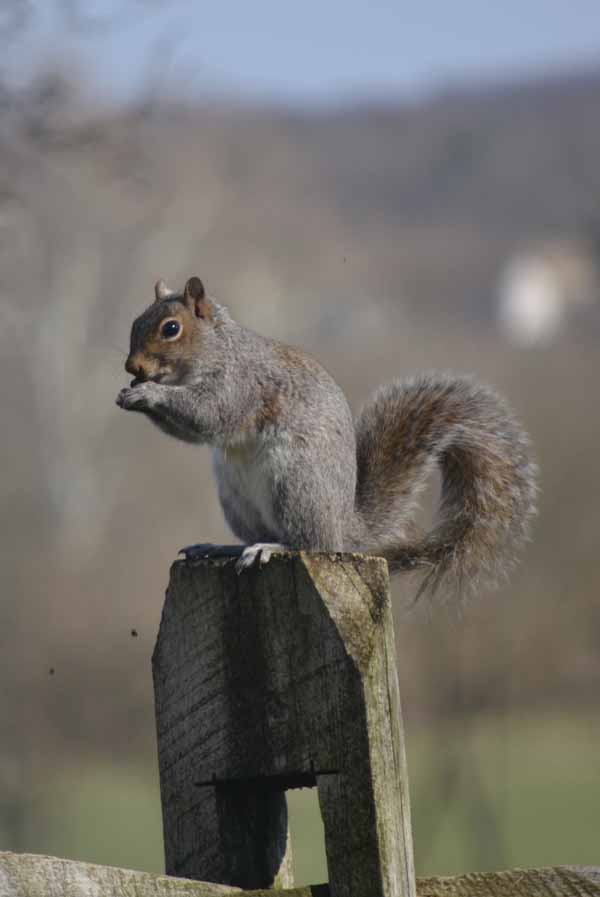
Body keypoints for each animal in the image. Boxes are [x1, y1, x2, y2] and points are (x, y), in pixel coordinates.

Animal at [116, 276, 537, 597]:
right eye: (134, 322)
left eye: (171, 329)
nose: (132, 367)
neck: (218, 350)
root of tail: (344, 527)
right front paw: (131, 393)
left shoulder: (240, 384)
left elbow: (210, 415)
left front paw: (148, 394)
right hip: (236, 499)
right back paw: (224, 547)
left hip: (296, 484)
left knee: (309, 543)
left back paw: (270, 547)